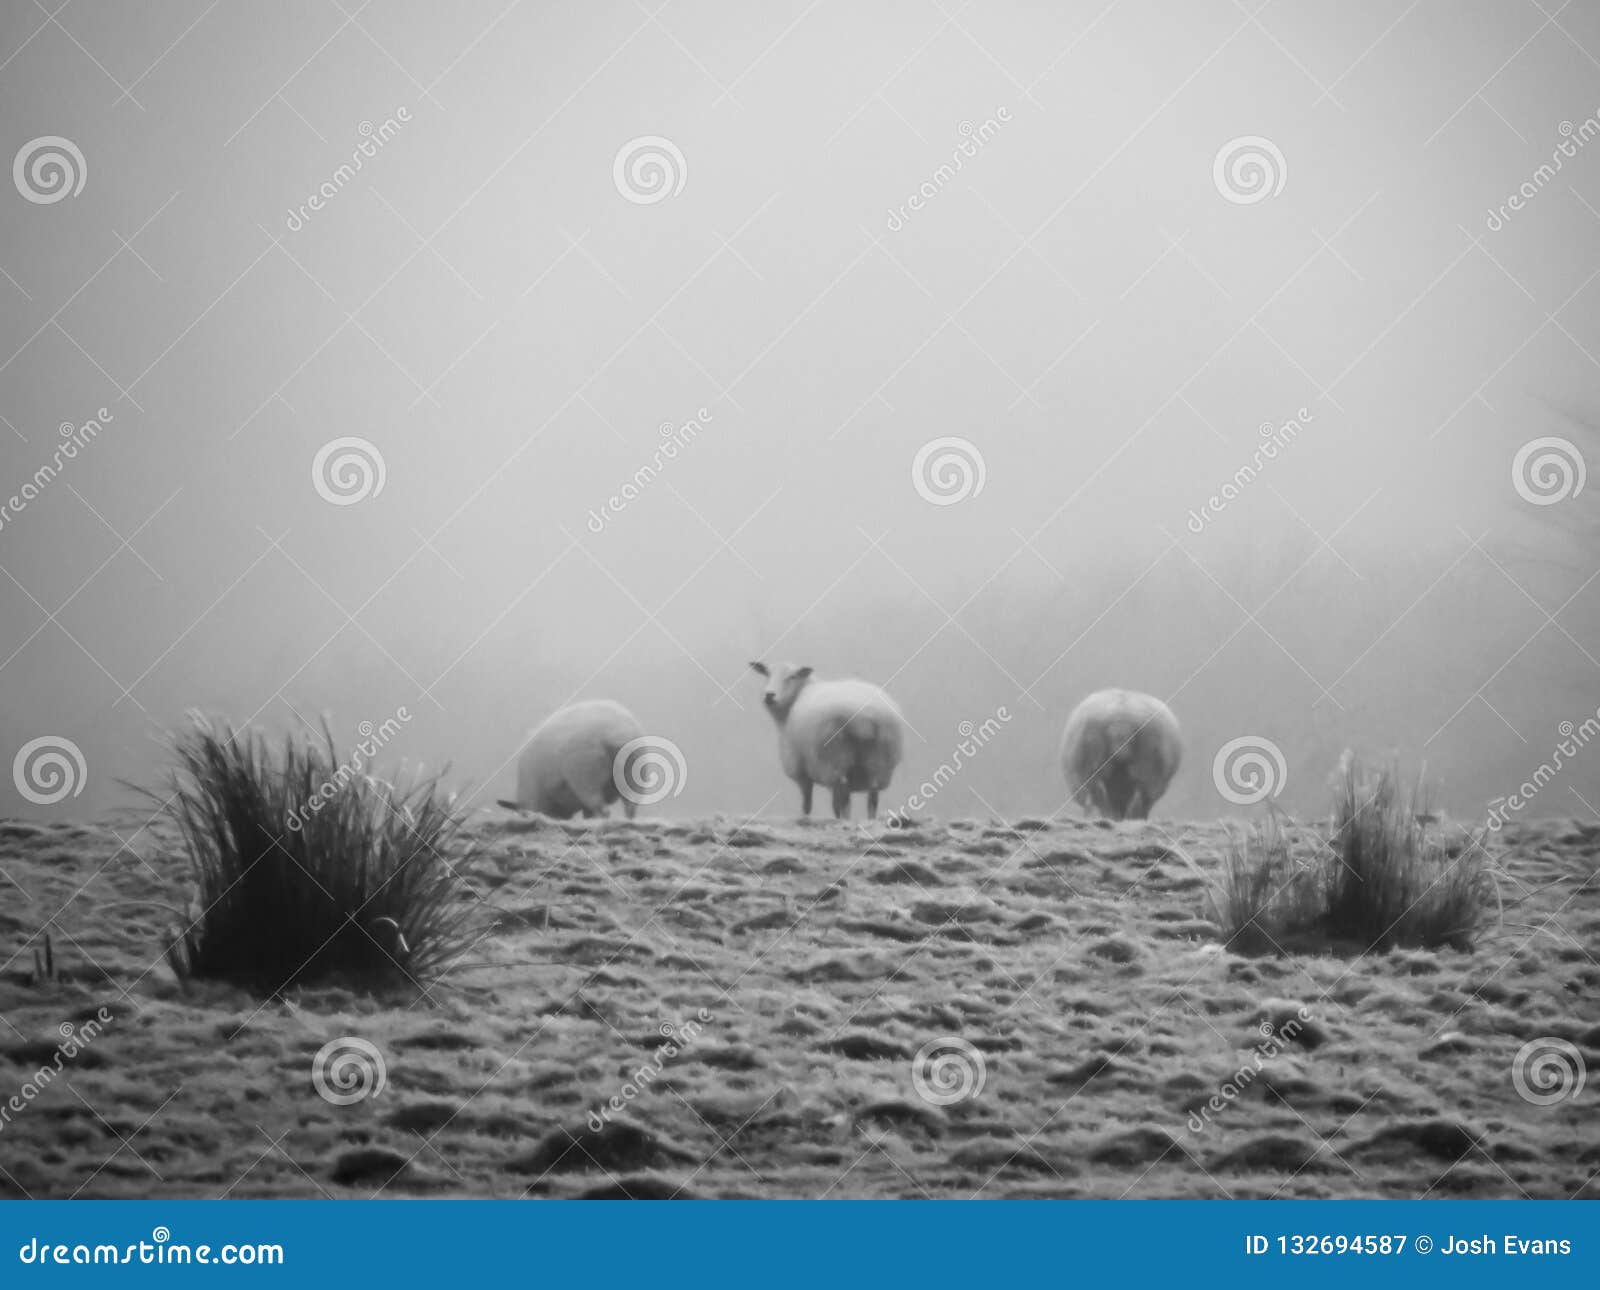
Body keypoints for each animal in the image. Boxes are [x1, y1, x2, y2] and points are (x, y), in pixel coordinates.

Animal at [497, 699, 645, 820]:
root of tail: (619, 732)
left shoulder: (535, 796)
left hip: (586, 776)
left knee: (601, 809)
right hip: (633, 776)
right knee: (630, 808)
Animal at [749, 661, 905, 819]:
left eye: (792, 676)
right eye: (767, 674)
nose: (769, 695)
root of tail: (865, 716)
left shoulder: (801, 771)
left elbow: (807, 804)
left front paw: (805, 818)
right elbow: (834, 806)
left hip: (835, 759)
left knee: (845, 797)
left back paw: (845, 821)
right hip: (879, 761)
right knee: (872, 797)